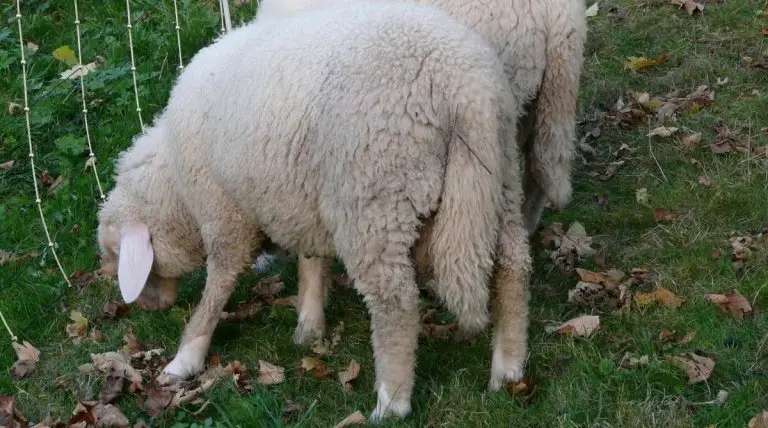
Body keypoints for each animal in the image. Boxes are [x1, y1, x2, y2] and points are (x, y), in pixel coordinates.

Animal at [97, 0, 531, 421]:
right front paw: (308, 326)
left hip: (374, 199)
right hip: (501, 177)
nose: (146, 308)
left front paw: (185, 359)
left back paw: (391, 403)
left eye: (117, 254)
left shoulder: (225, 214)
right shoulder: (300, 200)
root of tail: (464, 86)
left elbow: (218, 286)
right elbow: (312, 261)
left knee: (396, 302)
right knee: (513, 269)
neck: (176, 185)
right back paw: (507, 370)